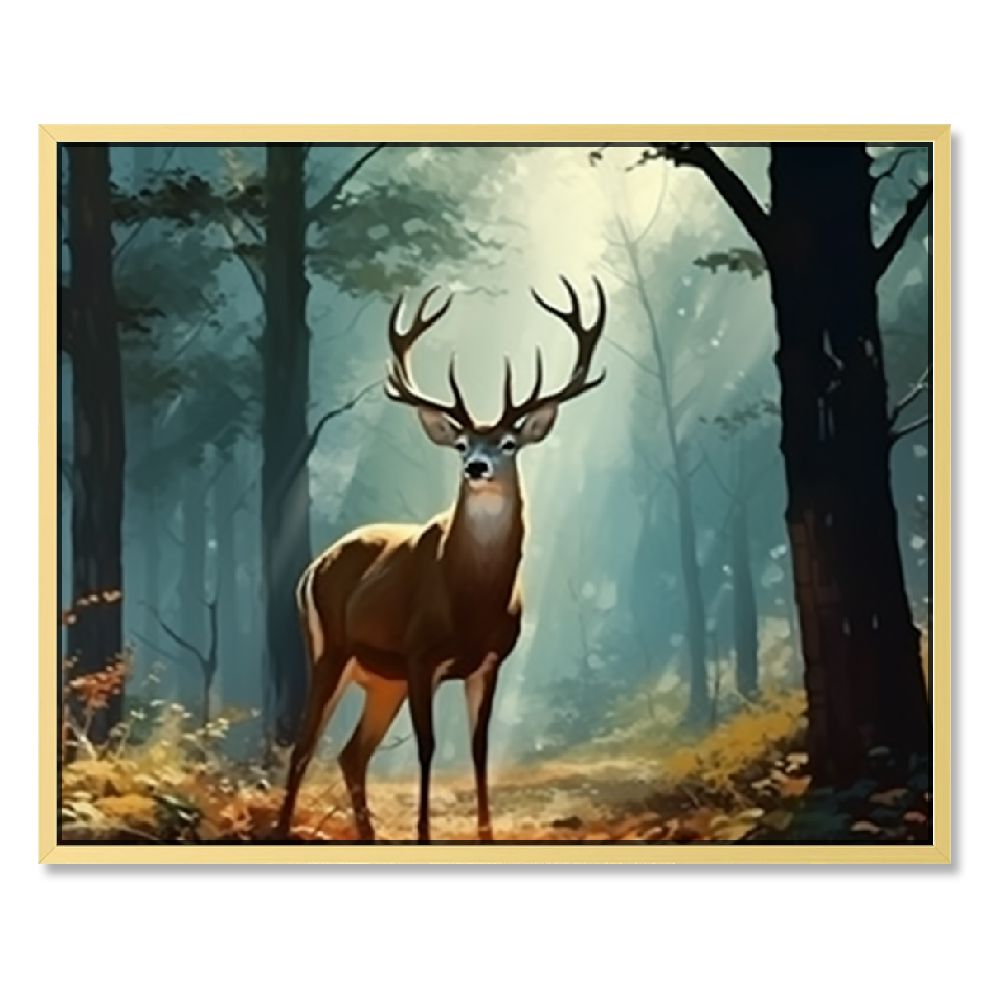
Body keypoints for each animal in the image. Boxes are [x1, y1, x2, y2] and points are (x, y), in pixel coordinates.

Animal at [275, 276, 607, 842]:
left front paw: (486, 834)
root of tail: (313, 567)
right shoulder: (419, 654)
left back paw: (367, 837)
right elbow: (428, 748)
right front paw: (425, 833)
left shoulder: (490, 660)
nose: (476, 467)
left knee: (350, 754)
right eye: (460, 443)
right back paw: (280, 829)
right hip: (329, 649)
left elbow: (479, 749)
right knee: (304, 746)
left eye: (508, 442)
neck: (472, 601)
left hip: (380, 680)